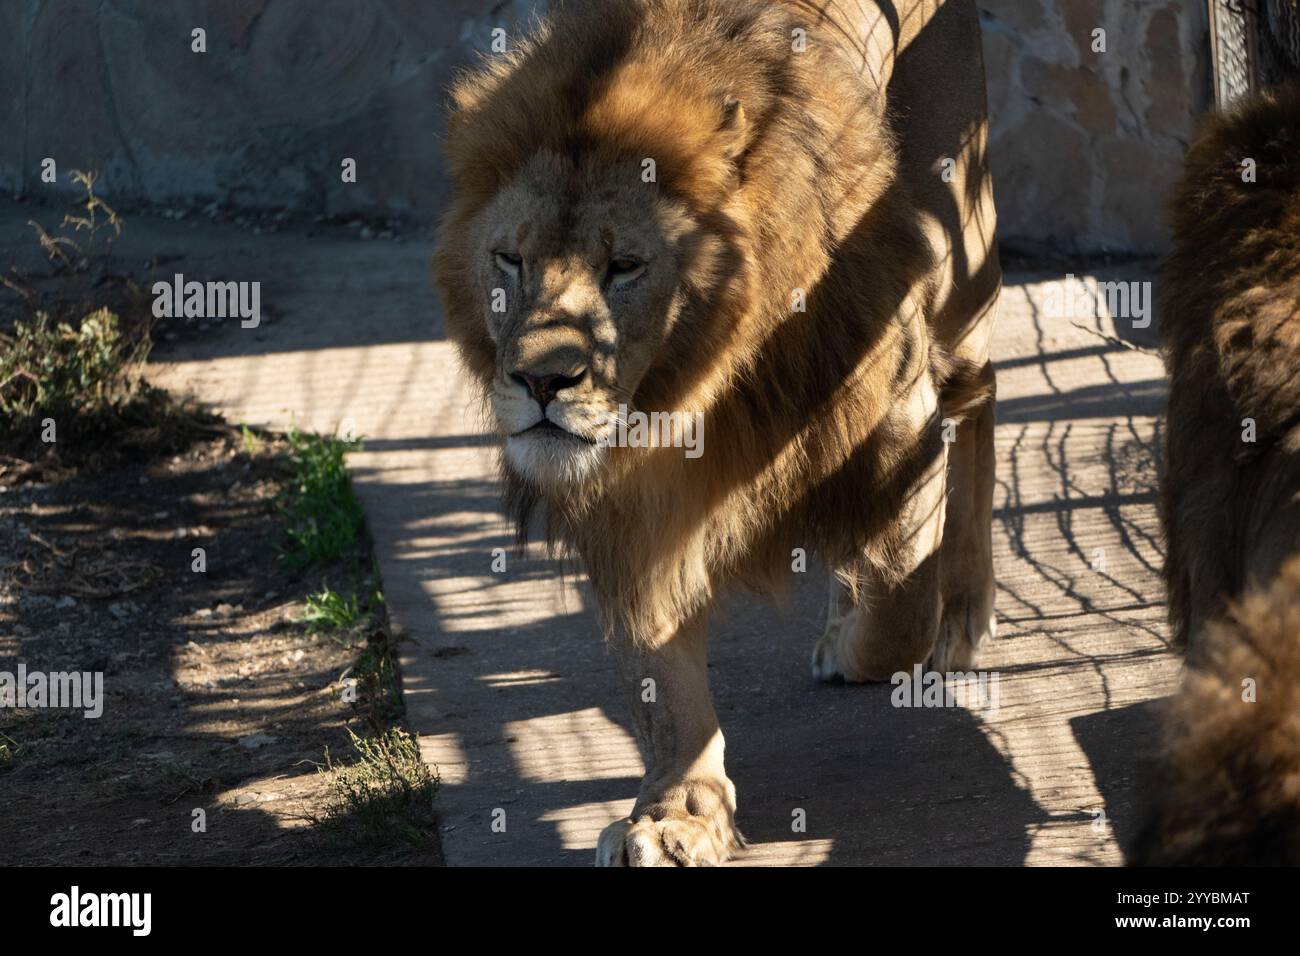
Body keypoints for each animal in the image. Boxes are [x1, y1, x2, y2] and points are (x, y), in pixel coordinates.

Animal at [434, 0, 1001, 866]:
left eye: (625, 266)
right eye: (509, 260)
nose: (540, 382)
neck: (689, 386)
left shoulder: (899, 416)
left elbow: (902, 603)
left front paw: (866, 642)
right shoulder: (628, 505)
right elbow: (663, 687)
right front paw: (678, 811)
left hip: (955, 259)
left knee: (981, 401)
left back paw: (964, 610)